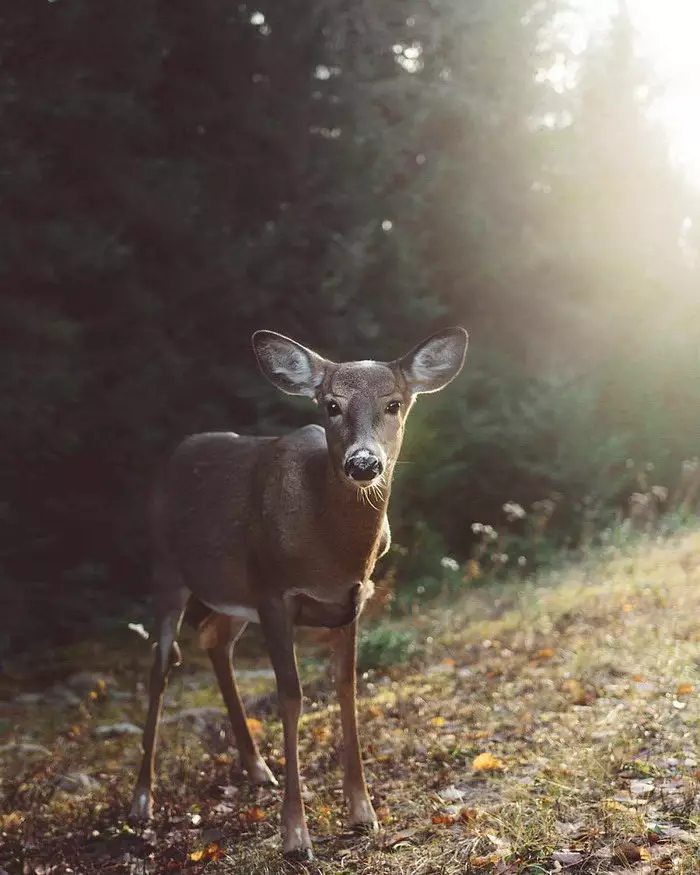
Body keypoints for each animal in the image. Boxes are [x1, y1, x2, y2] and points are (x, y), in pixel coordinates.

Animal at [131, 326, 470, 860]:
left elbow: (346, 686)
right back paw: (141, 801)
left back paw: (257, 769)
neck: (328, 548)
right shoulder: (274, 594)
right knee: (161, 665)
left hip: (233, 592)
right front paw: (295, 835)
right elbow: (291, 696)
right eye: (330, 405)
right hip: (166, 568)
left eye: (394, 404)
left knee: (212, 636)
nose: (363, 463)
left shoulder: (353, 597)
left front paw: (363, 813)